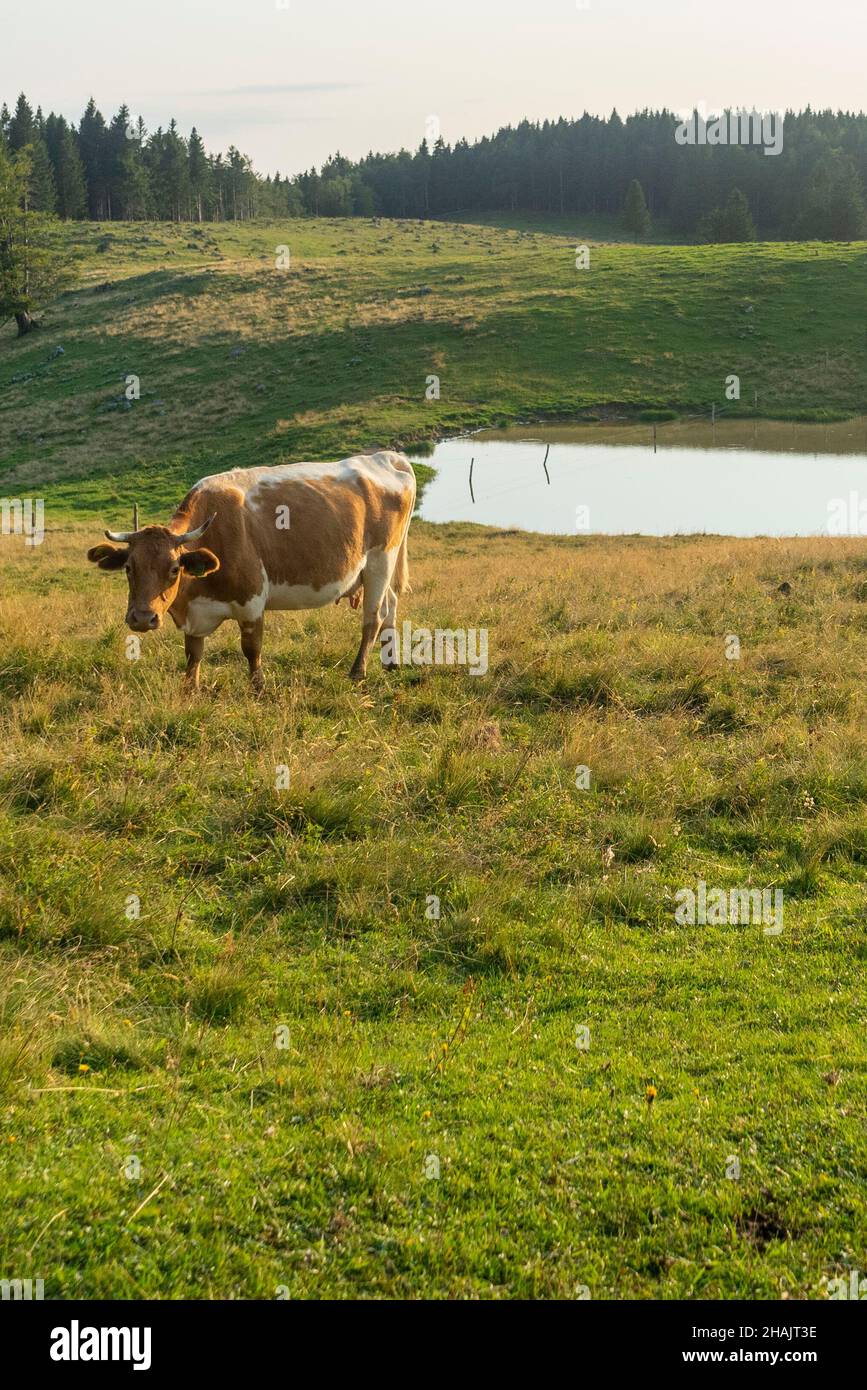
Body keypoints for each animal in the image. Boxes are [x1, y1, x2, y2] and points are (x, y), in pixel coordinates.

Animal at [86, 450, 416, 687]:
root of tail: (385, 456)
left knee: (373, 617)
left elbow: (251, 648)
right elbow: (193, 653)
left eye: (174, 569)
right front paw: (189, 689)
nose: (143, 618)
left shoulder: (252, 601)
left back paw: (358, 671)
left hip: (380, 561)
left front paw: (258, 688)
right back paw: (390, 663)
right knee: (391, 604)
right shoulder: (195, 613)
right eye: (129, 568)